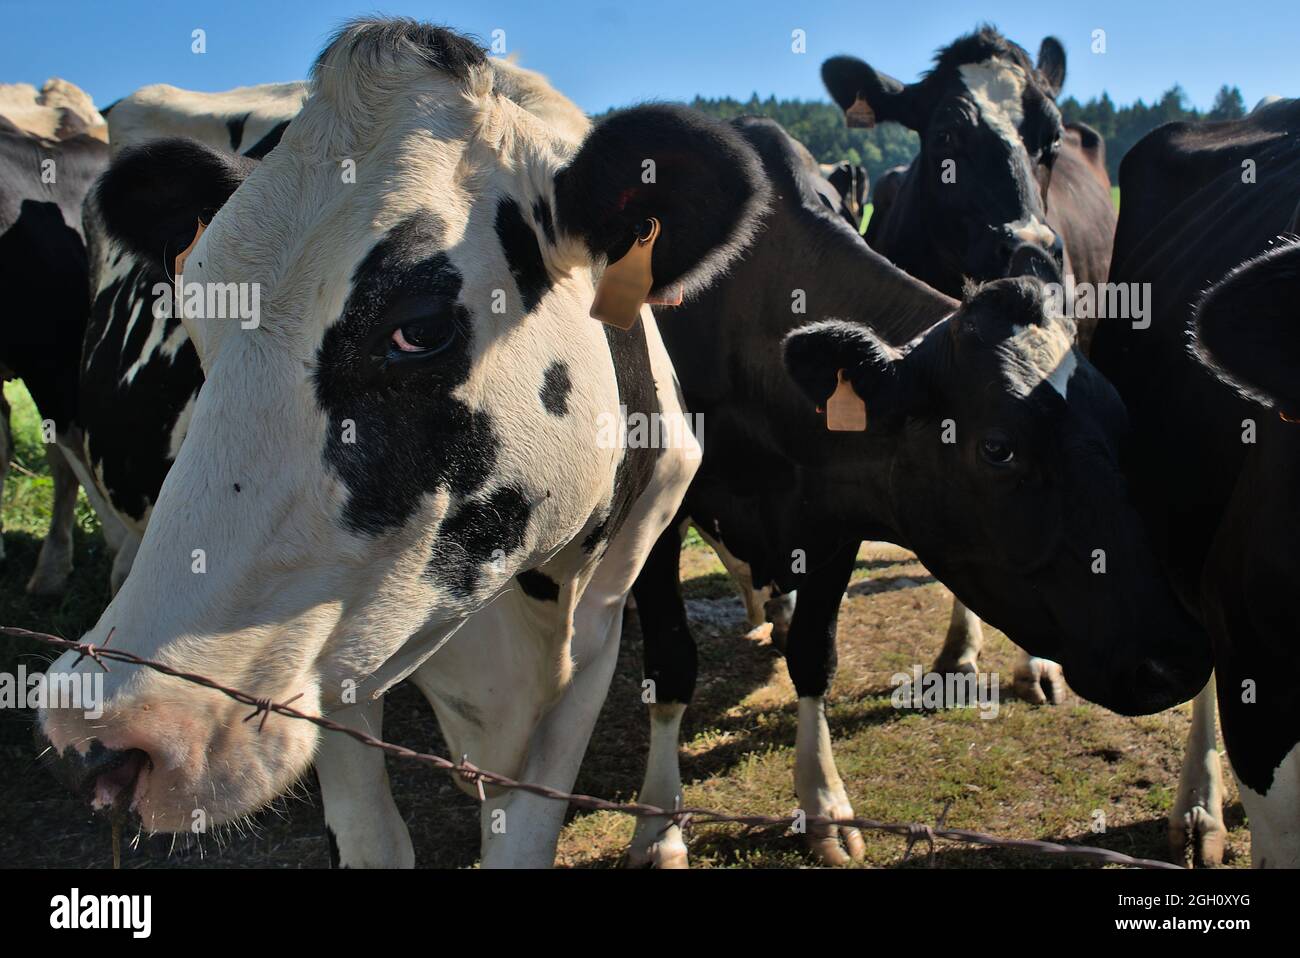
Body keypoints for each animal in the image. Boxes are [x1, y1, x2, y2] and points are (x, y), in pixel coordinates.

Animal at [35, 17, 771, 869]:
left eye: (417, 328)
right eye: (191, 312)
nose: (107, 732)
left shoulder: (601, 623)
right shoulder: (325, 665)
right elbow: (373, 838)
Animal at [626, 114, 1211, 867]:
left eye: (1122, 422)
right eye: (998, 447)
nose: (1180, 658)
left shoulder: (834, 510)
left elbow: (815, 654)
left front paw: (824, 806)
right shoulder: (660, 514)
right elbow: (671, 663)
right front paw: (658, 828)